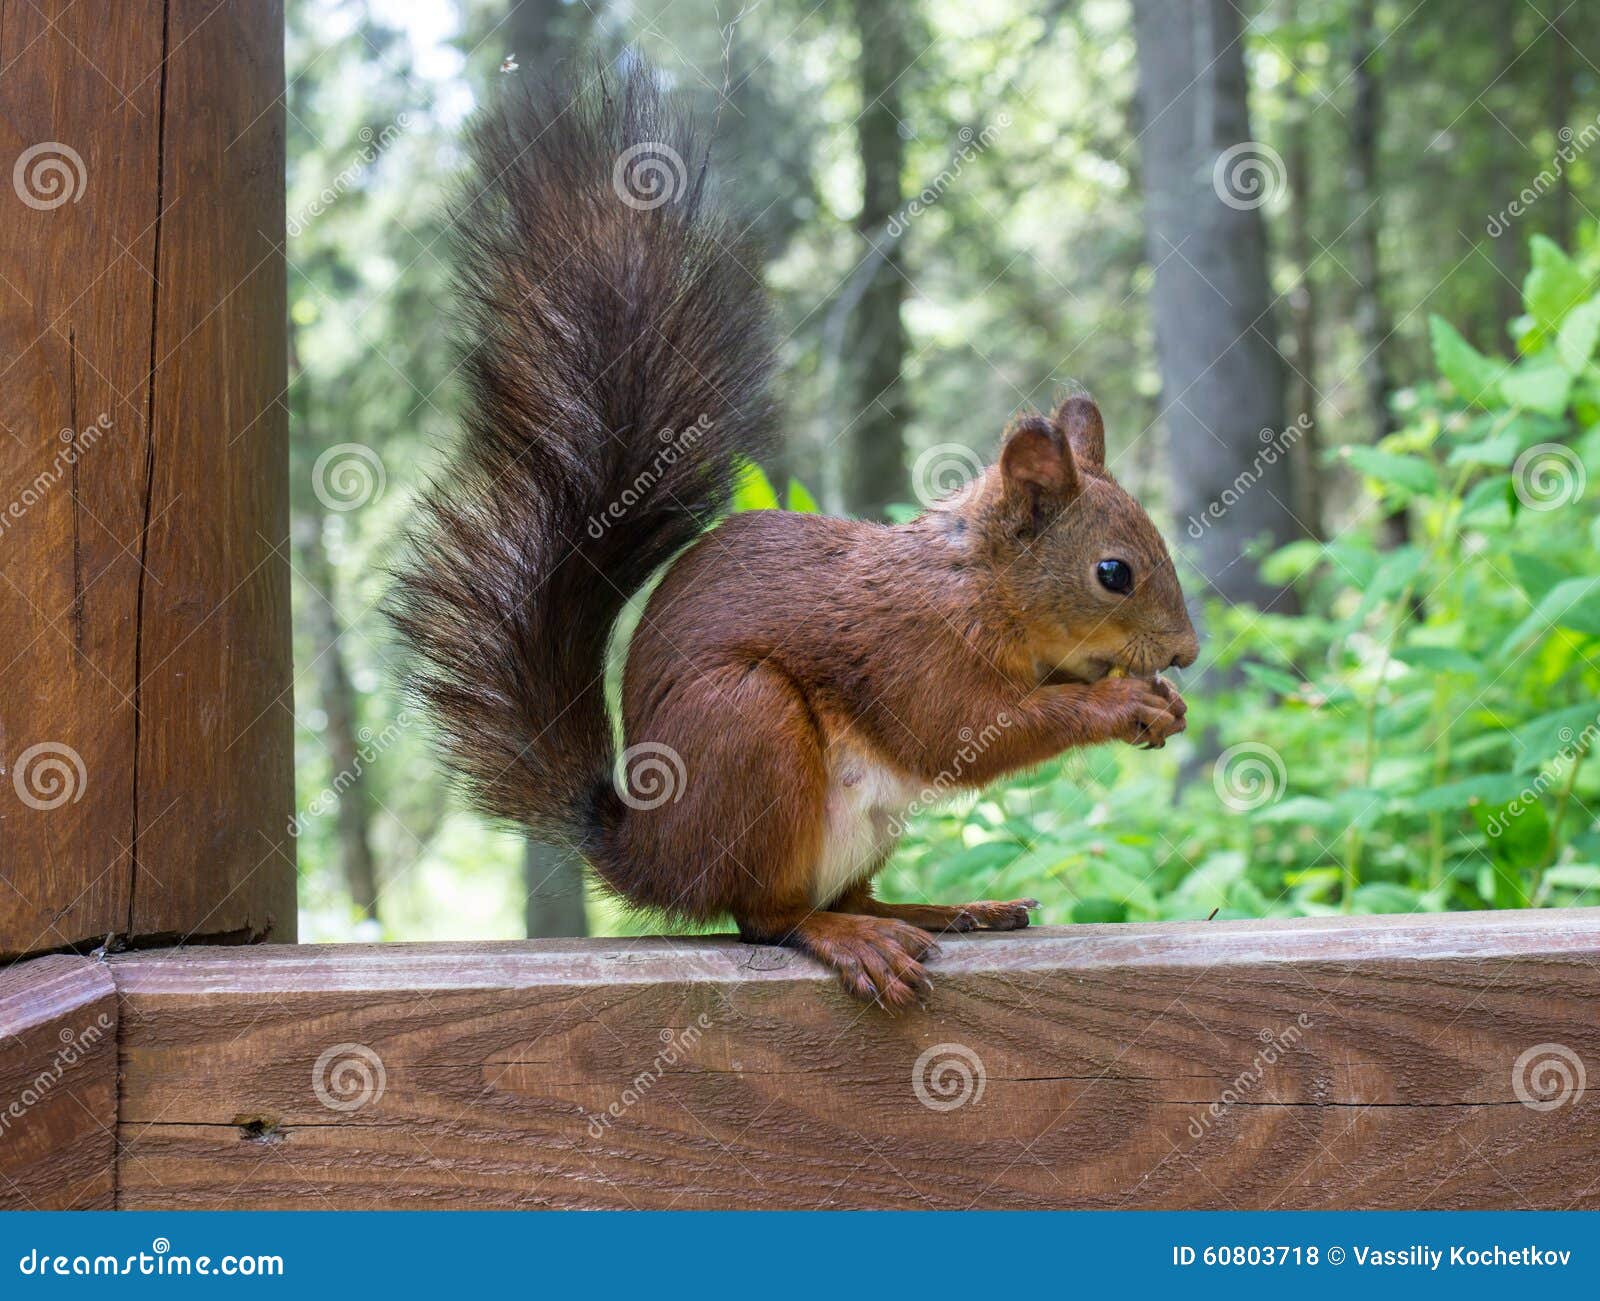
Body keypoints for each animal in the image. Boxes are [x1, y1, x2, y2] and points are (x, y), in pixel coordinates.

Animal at [389, 61, 1199, 1010]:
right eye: (1114, 572)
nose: (1184, 652)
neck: (976, 584)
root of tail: (652, 856)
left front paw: (1161, 703)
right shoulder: (910, 650)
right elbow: (962, 732)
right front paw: (1118, 703)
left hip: (861, 821)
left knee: (843, 892)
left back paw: (942, 909)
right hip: (751, 730)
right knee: (767, 917)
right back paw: (851, 937)